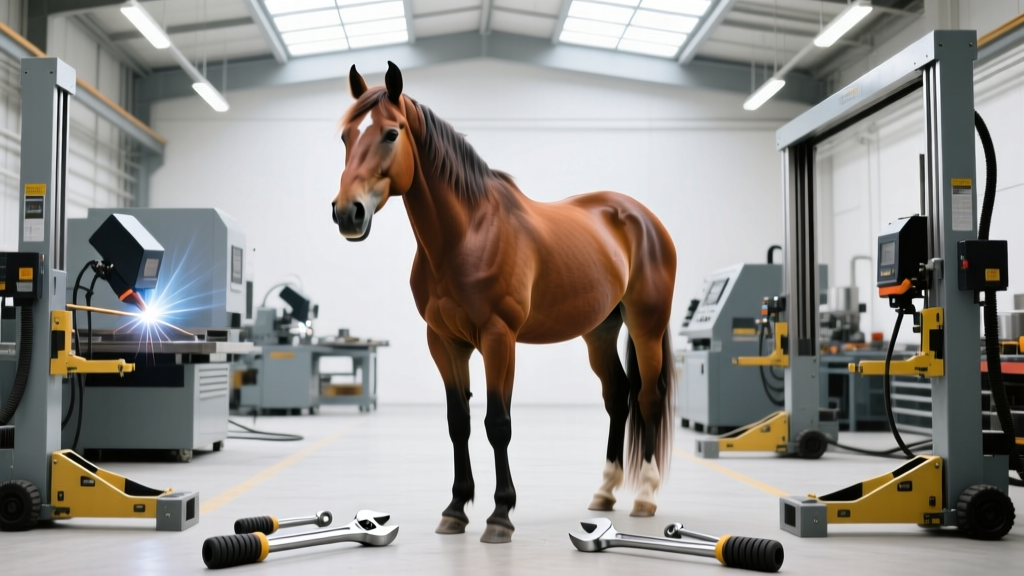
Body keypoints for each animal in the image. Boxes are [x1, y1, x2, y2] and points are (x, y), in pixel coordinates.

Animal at [331, 62, 677, 544]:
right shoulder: (444, 342)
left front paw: (500, 515)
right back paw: (604, 492)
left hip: (646, 326)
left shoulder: (499, 339)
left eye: (391, 133)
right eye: (346, 136)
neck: (467, 236)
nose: (348, 213)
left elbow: (498, 423)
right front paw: (455, 509)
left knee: (647, 396)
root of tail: (643, 218)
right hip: (599, 332)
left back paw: (645, 496)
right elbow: (458, 422)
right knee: (618, 396)